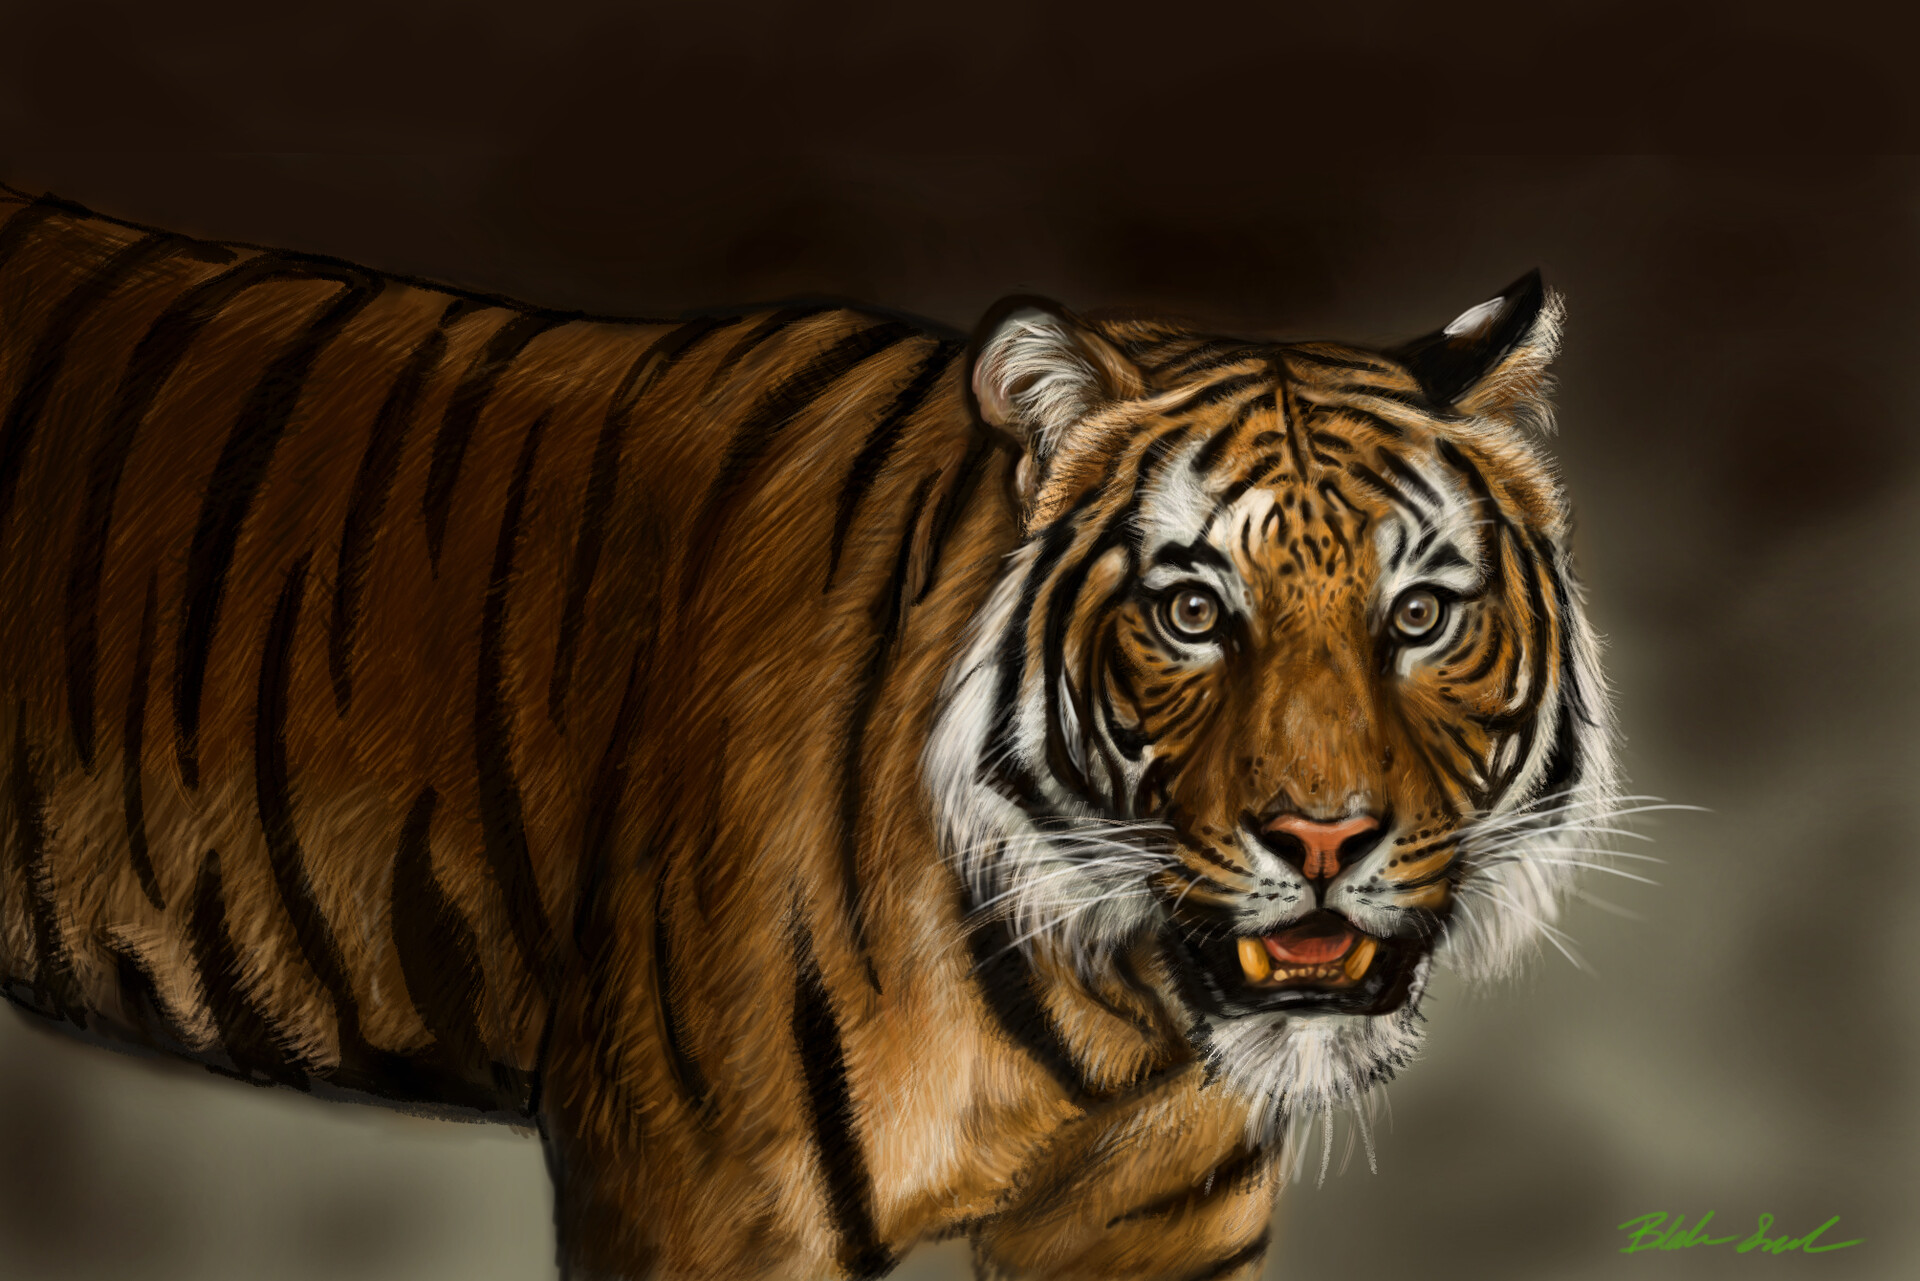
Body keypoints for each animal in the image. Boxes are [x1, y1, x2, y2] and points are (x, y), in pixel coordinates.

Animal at [0, 183, 1616, 1281]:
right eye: (1192, 610)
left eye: (1421, 615)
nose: (1324, 838)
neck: (1115, 1017)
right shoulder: (701, 1202)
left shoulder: (1159, 1218)